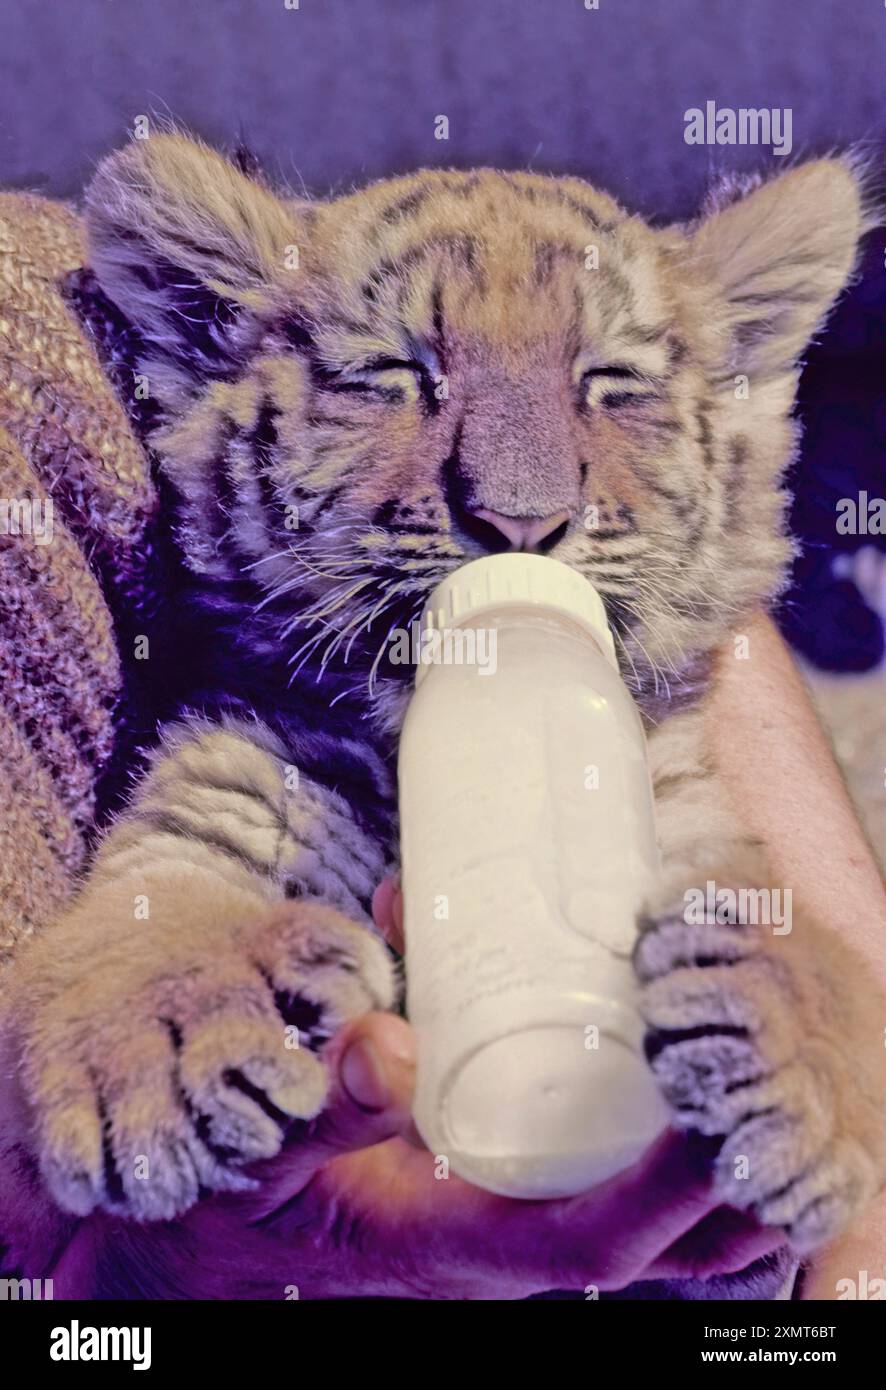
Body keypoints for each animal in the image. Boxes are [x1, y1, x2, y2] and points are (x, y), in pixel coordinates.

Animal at [2, 133, 885, 1297]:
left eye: (607, 383)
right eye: (396, 375)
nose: (519, 523)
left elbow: (811, 953)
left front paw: (801, 1068)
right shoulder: (237, 780)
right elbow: (157, 906)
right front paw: (158, 1049)